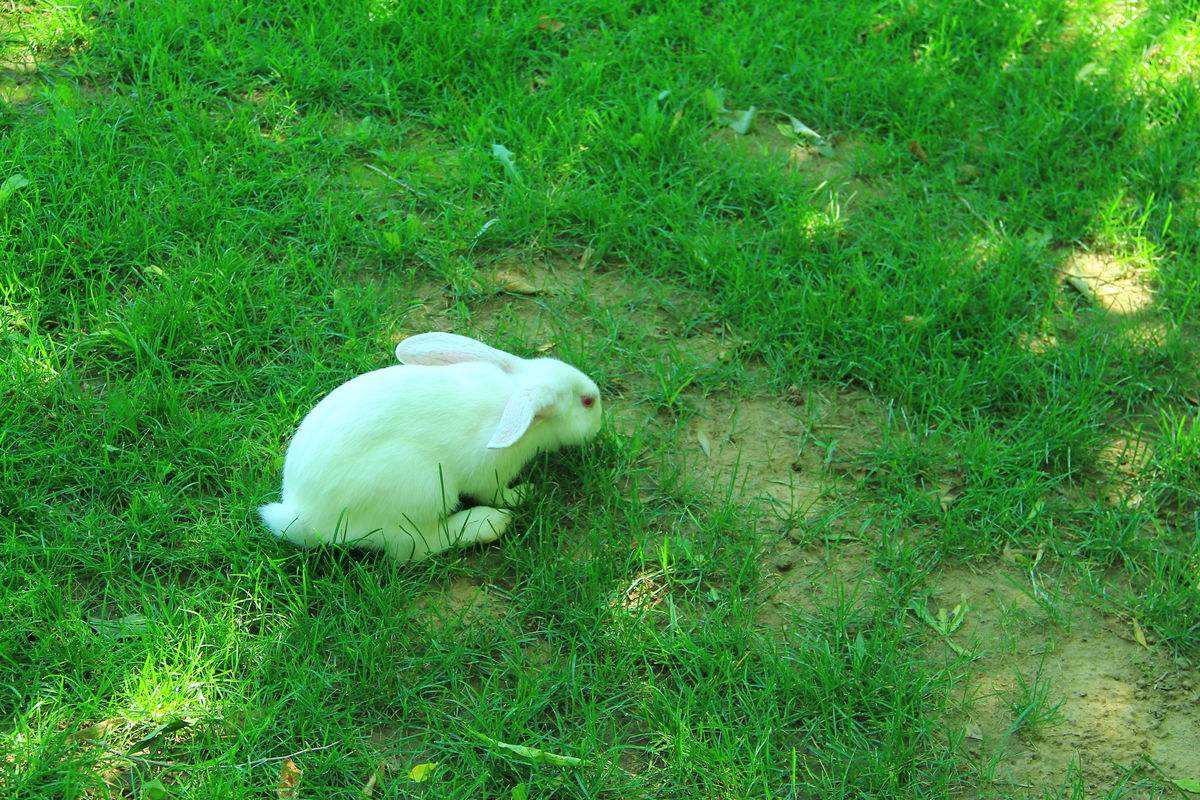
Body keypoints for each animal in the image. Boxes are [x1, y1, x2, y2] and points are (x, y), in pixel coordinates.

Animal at [258, 332, 602, 561]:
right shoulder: (489, 475)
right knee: (418, 546)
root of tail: (302, 513)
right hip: (423, 489)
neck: (513, 400)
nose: (600, 423)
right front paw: (523, 494)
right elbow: (496, 493)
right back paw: (488, 523)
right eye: (587, 402)